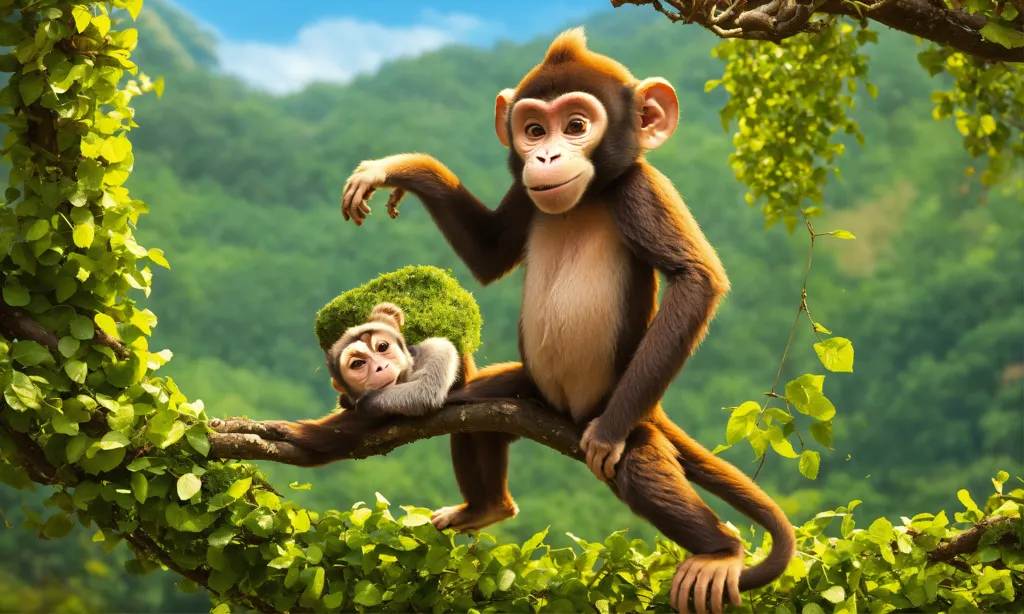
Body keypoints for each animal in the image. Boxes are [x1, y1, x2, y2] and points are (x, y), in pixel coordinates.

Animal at [337, 28, 795, 614]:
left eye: (576, 126)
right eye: (533, 130)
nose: (547, 154)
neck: (586, 199)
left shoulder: (639, 187)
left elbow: (695, 280)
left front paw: (606, 440)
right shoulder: (527, 198)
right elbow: (489, 255)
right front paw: (391, 168)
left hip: (627, 406)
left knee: (640, 468)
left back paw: (719, 551)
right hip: (530, 389)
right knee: (470, 411)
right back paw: (485, 508)